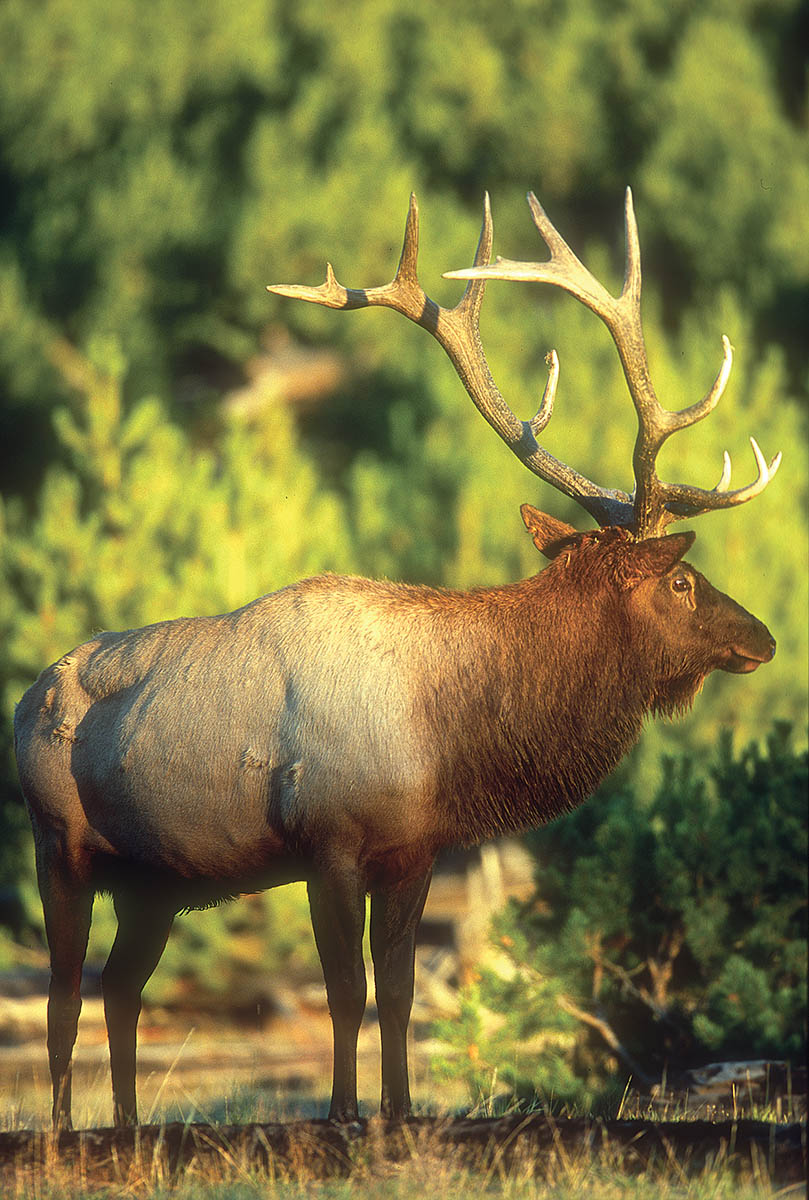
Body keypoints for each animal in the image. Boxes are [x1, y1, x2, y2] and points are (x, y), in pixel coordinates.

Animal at [15, 186, 779, 1131]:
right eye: (681, 579)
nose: (763, 637)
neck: (449, 732)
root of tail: (26, 697)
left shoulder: (416, 851)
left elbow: (403, 993)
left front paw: (403, 1110)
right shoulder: (329, 843)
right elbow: (346, 992)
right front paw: (344, 1113)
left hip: (153, 881)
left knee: (122, 989)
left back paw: (124, 1124)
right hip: (58, 846)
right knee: (65, 995)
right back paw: (62, 1128)